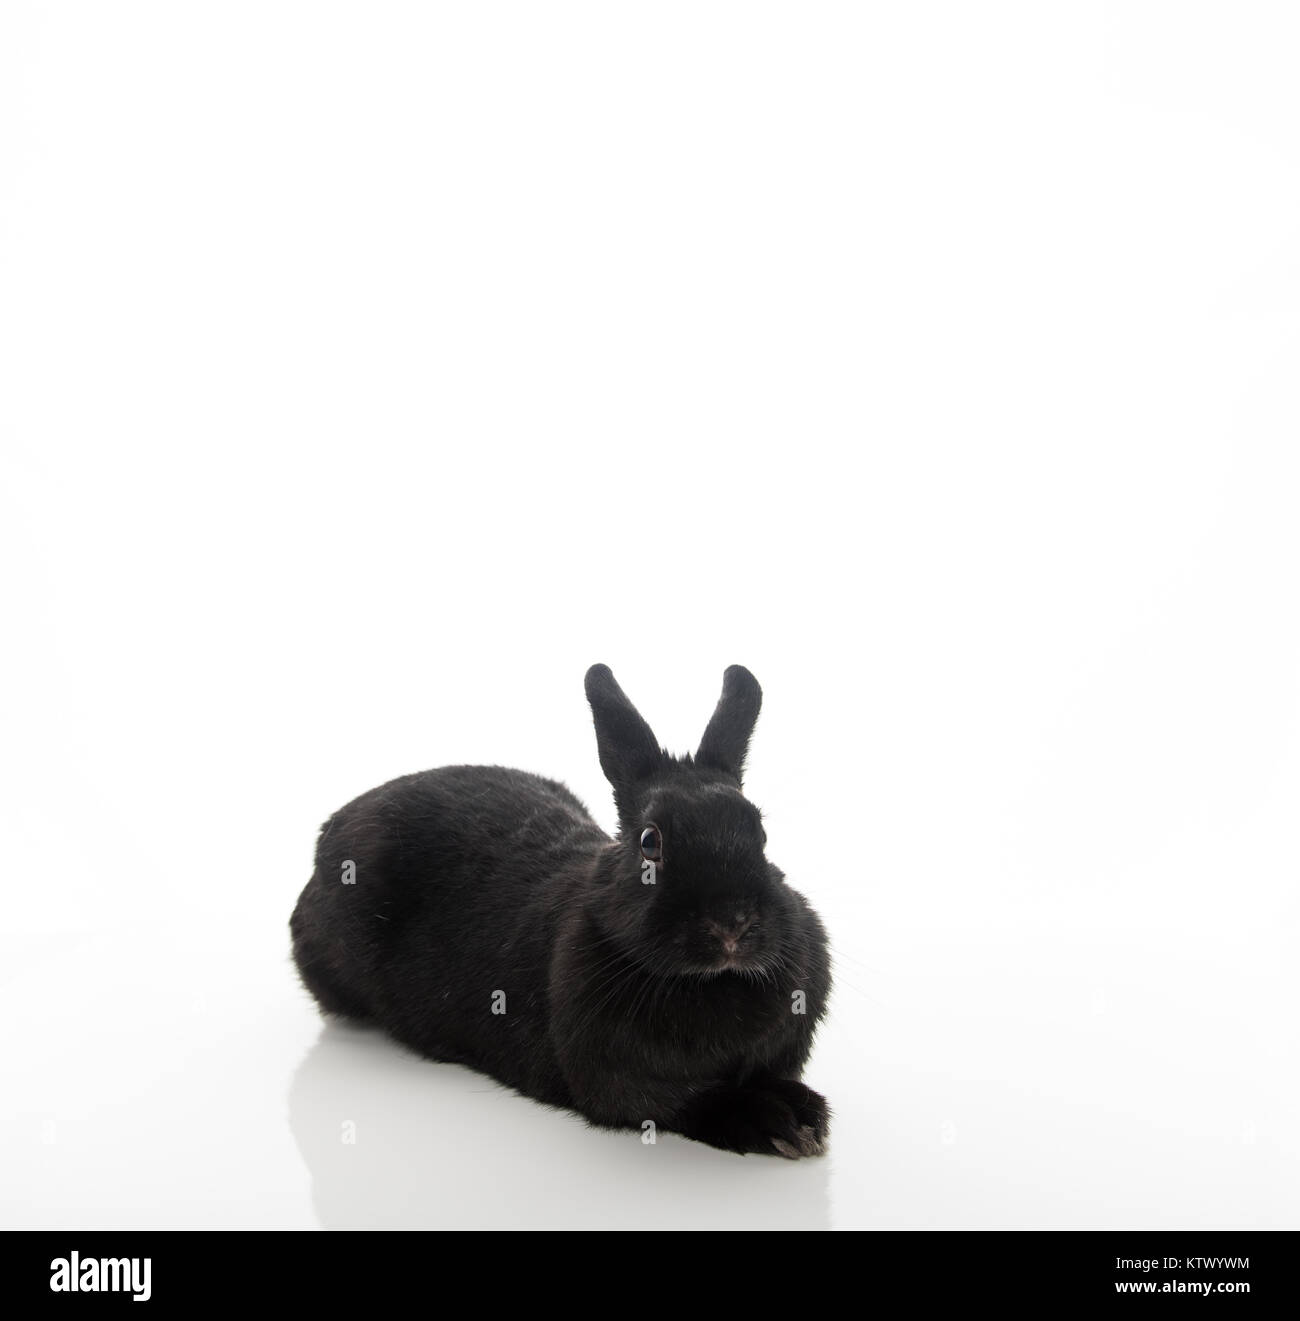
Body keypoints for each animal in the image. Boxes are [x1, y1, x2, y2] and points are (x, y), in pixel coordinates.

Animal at [290, 664, 832, 1157]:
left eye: (760, 833)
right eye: (650, 842)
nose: (732, 925)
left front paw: (805, 1113)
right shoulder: (629, 1088)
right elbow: (691, 1103)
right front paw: (779, 1122)